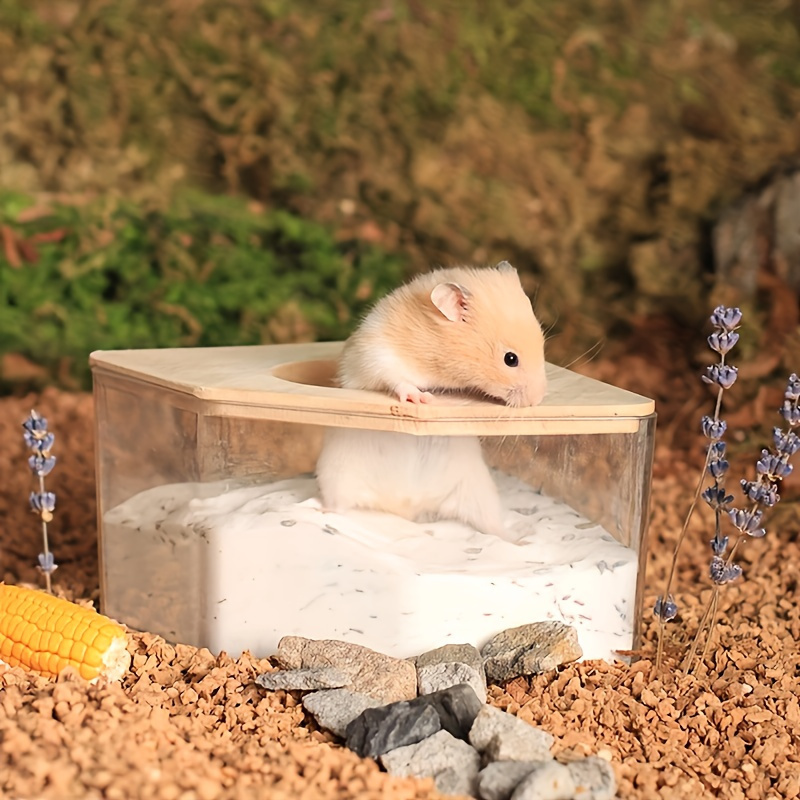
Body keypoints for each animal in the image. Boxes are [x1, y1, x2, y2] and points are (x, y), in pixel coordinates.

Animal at [316, 262, 547, 538]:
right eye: (510, 359)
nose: (537, 400)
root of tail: (407, 507)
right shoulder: (376, 351)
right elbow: (394, 377)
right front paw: (420, 398)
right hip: (337, 473)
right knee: (337, 505)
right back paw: (318, 511)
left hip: (477, 489)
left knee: (492, 526)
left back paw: (520, 538)